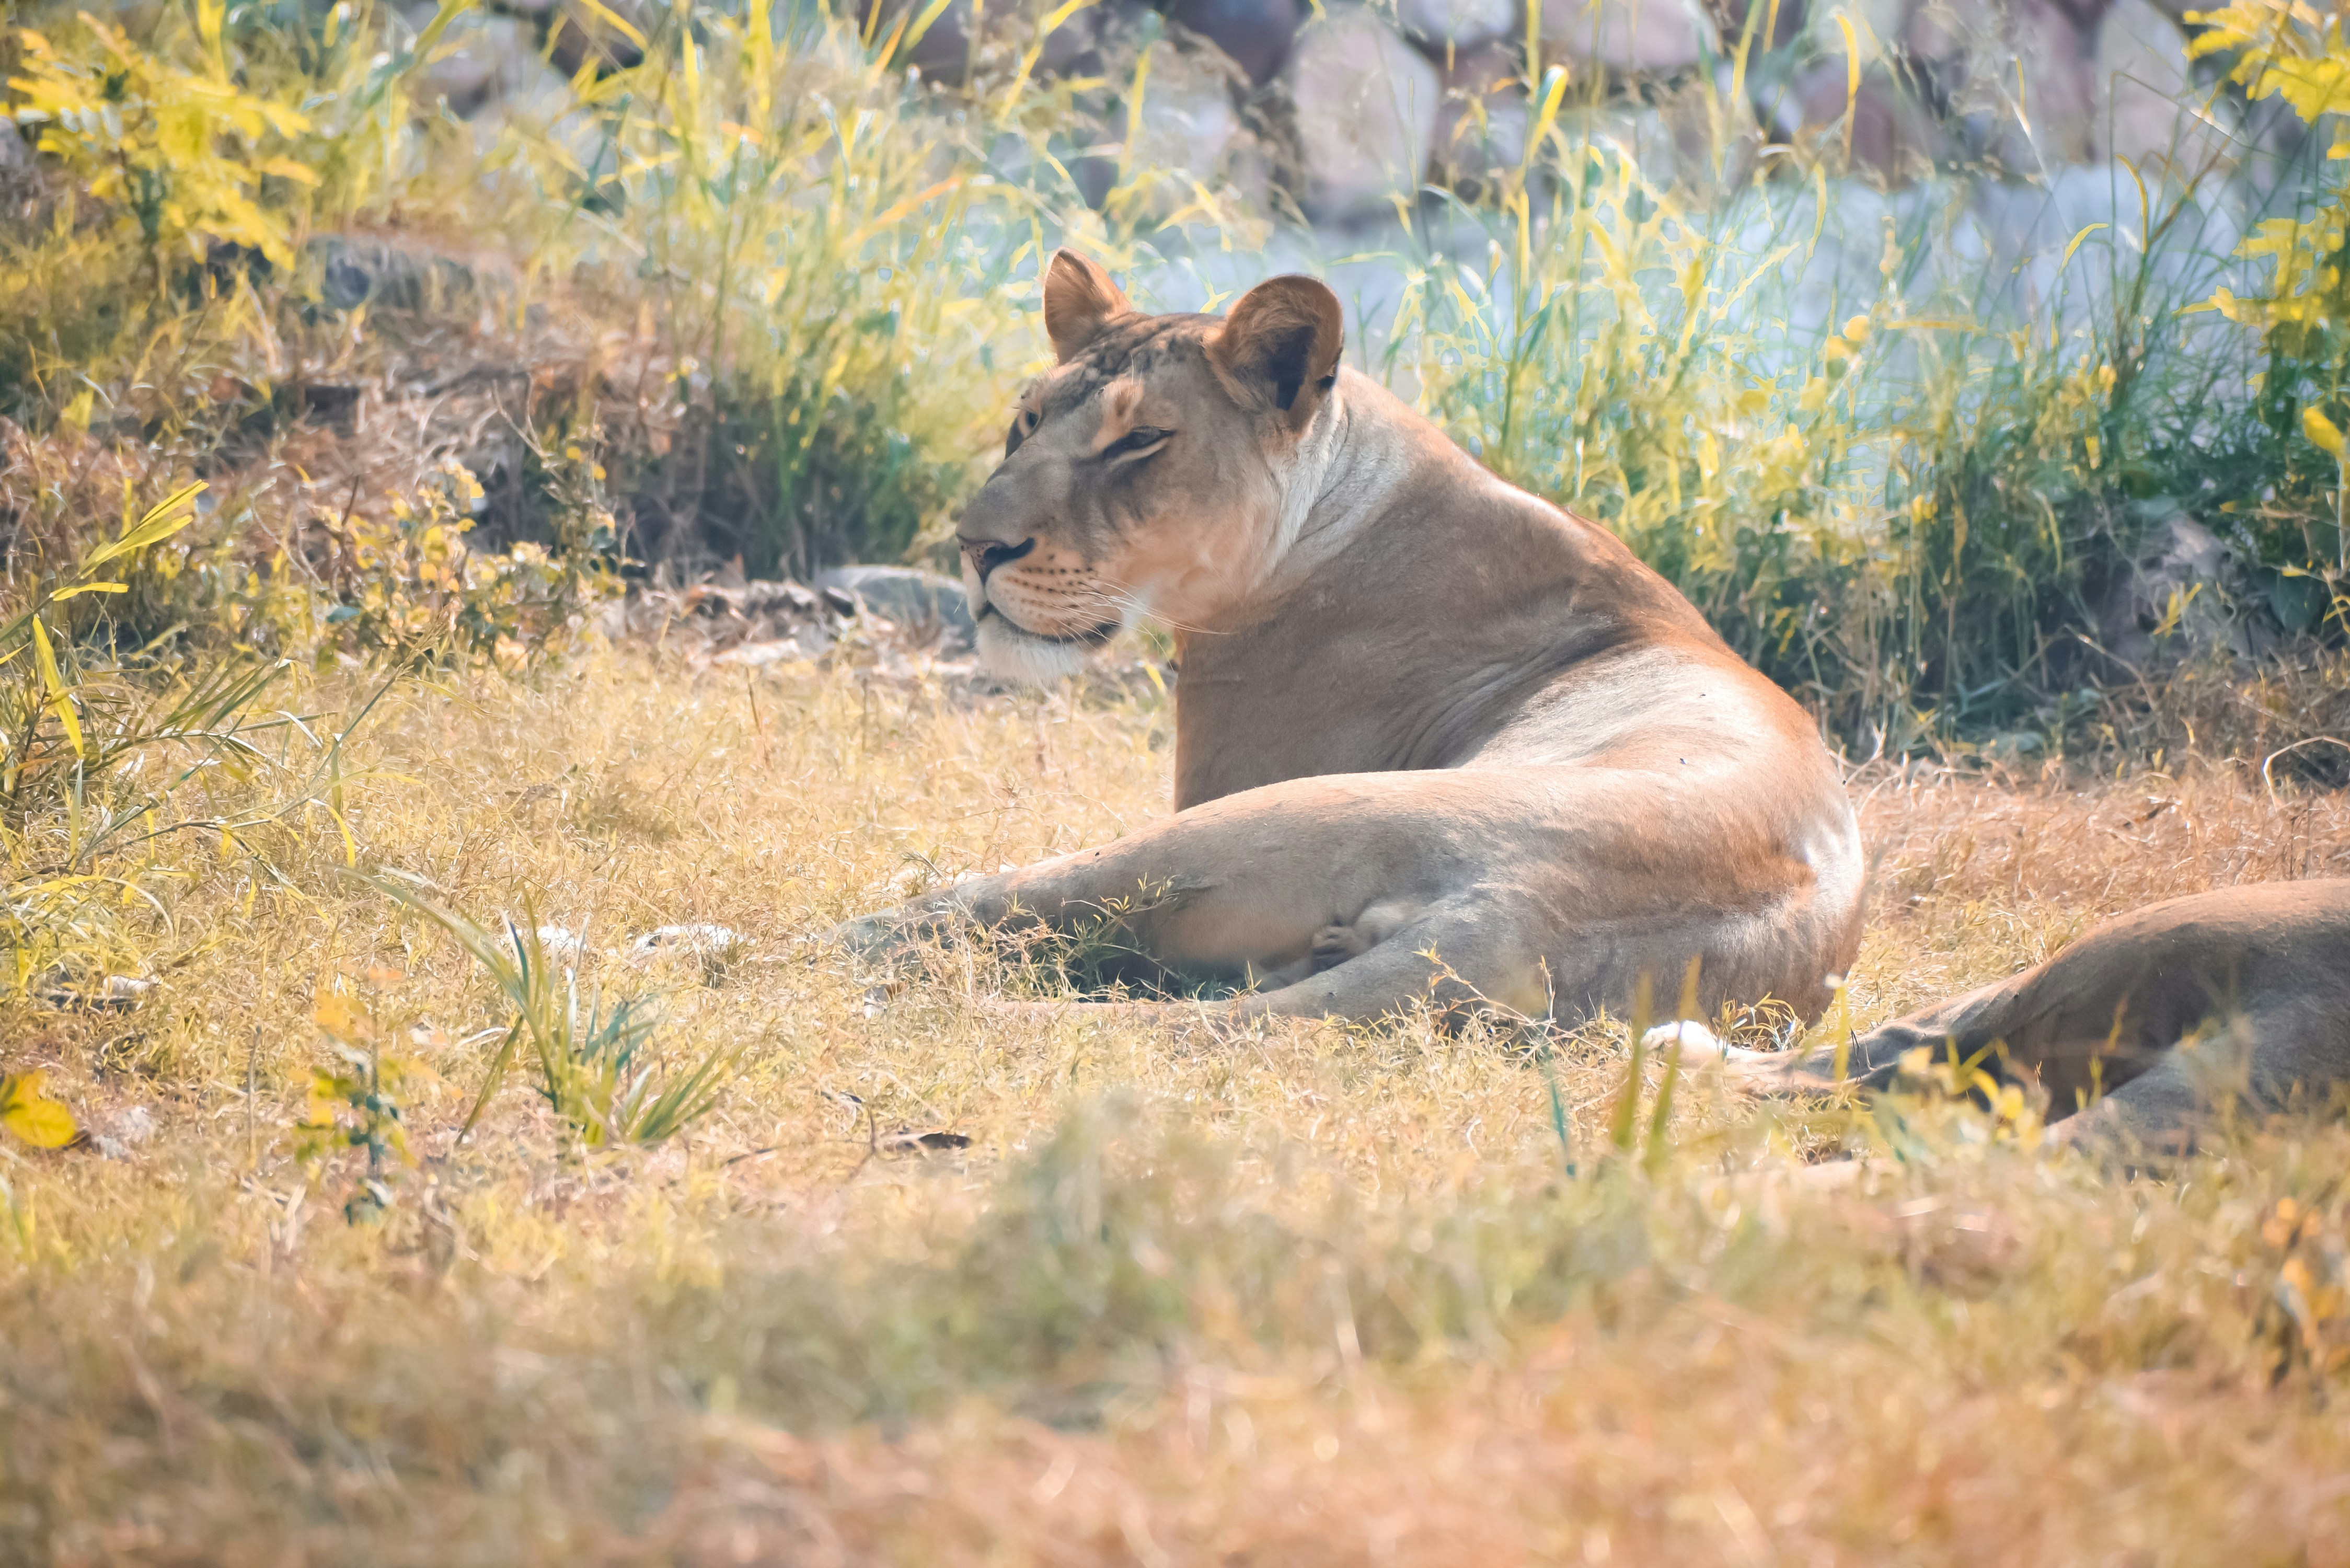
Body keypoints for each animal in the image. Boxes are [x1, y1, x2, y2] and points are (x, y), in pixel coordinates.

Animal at [839, 250, 1866, 1026]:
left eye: (1141, 441)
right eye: (1028, 419)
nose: (975, 546)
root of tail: (1517, 913)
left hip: (1256, 823)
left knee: (983, 904)